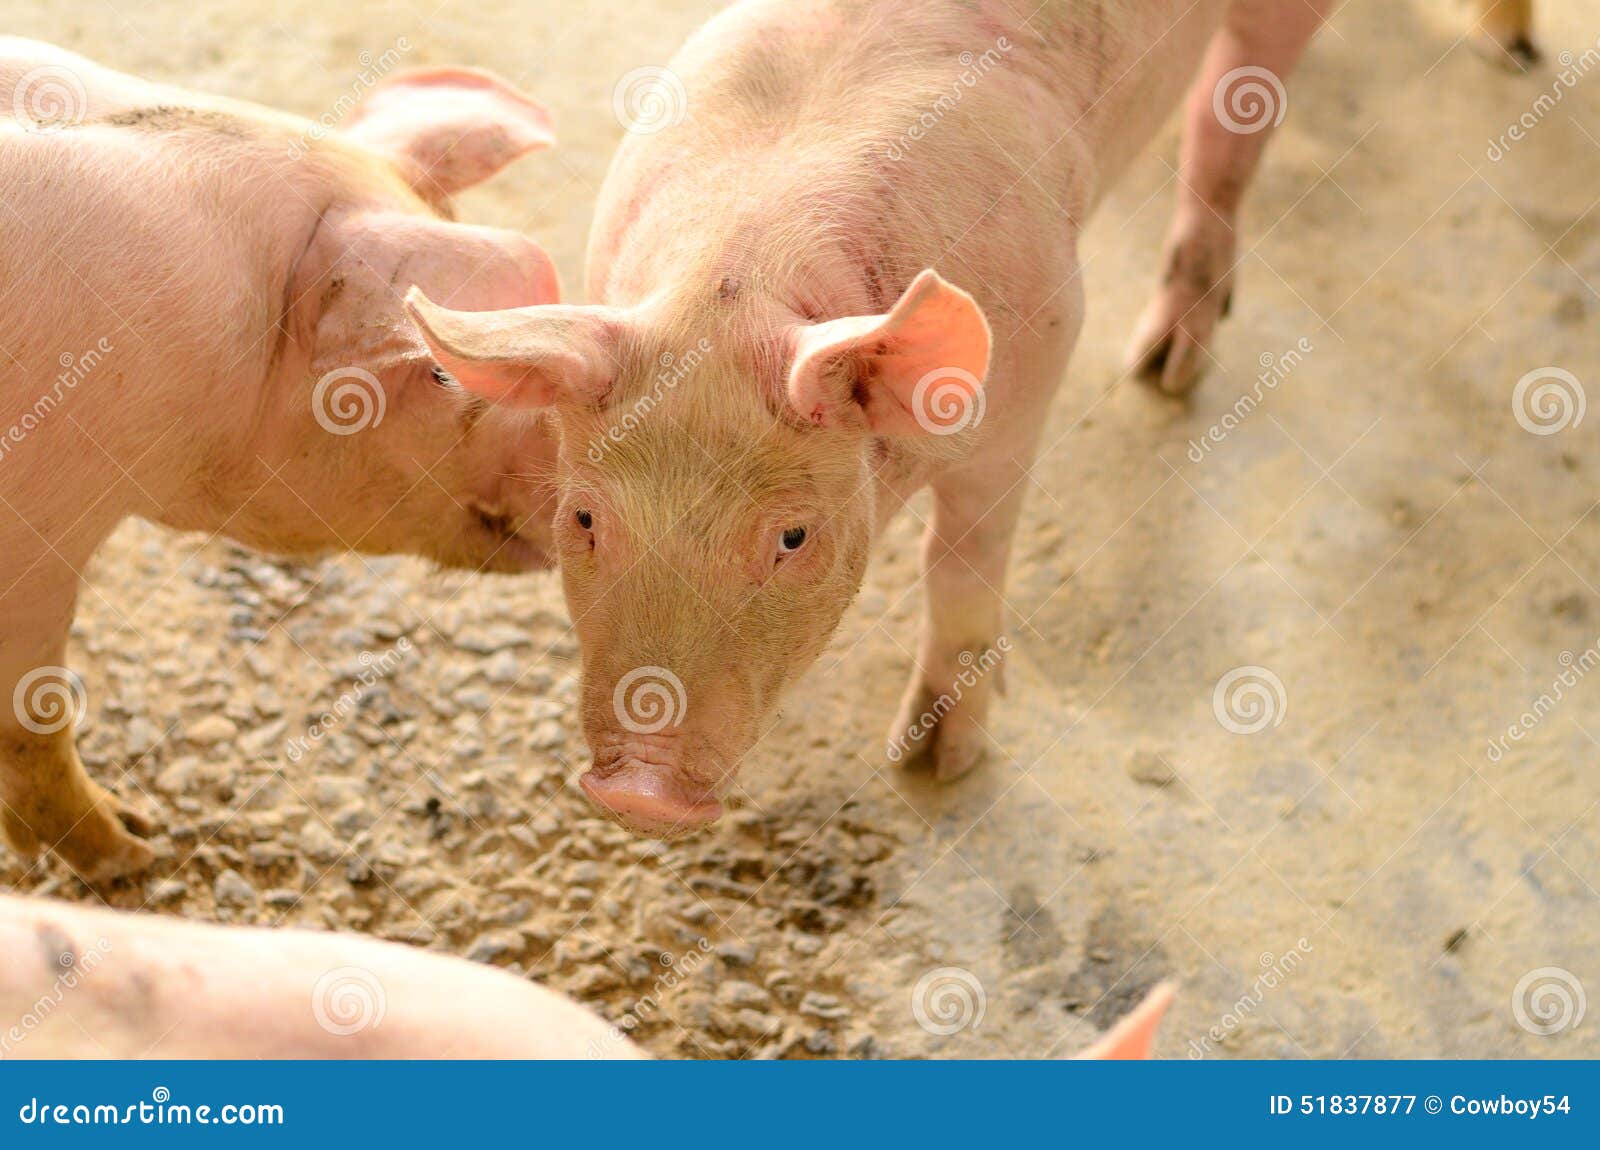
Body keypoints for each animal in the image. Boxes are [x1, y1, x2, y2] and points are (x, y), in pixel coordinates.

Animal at [404, 0, 1337, 837]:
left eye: (793, 537)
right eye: (584, 519)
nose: (640, 791)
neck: (741, 286)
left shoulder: (1033, 372)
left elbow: (960, 564)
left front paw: (935, 764)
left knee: (1233, 106)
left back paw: (1165, 372)